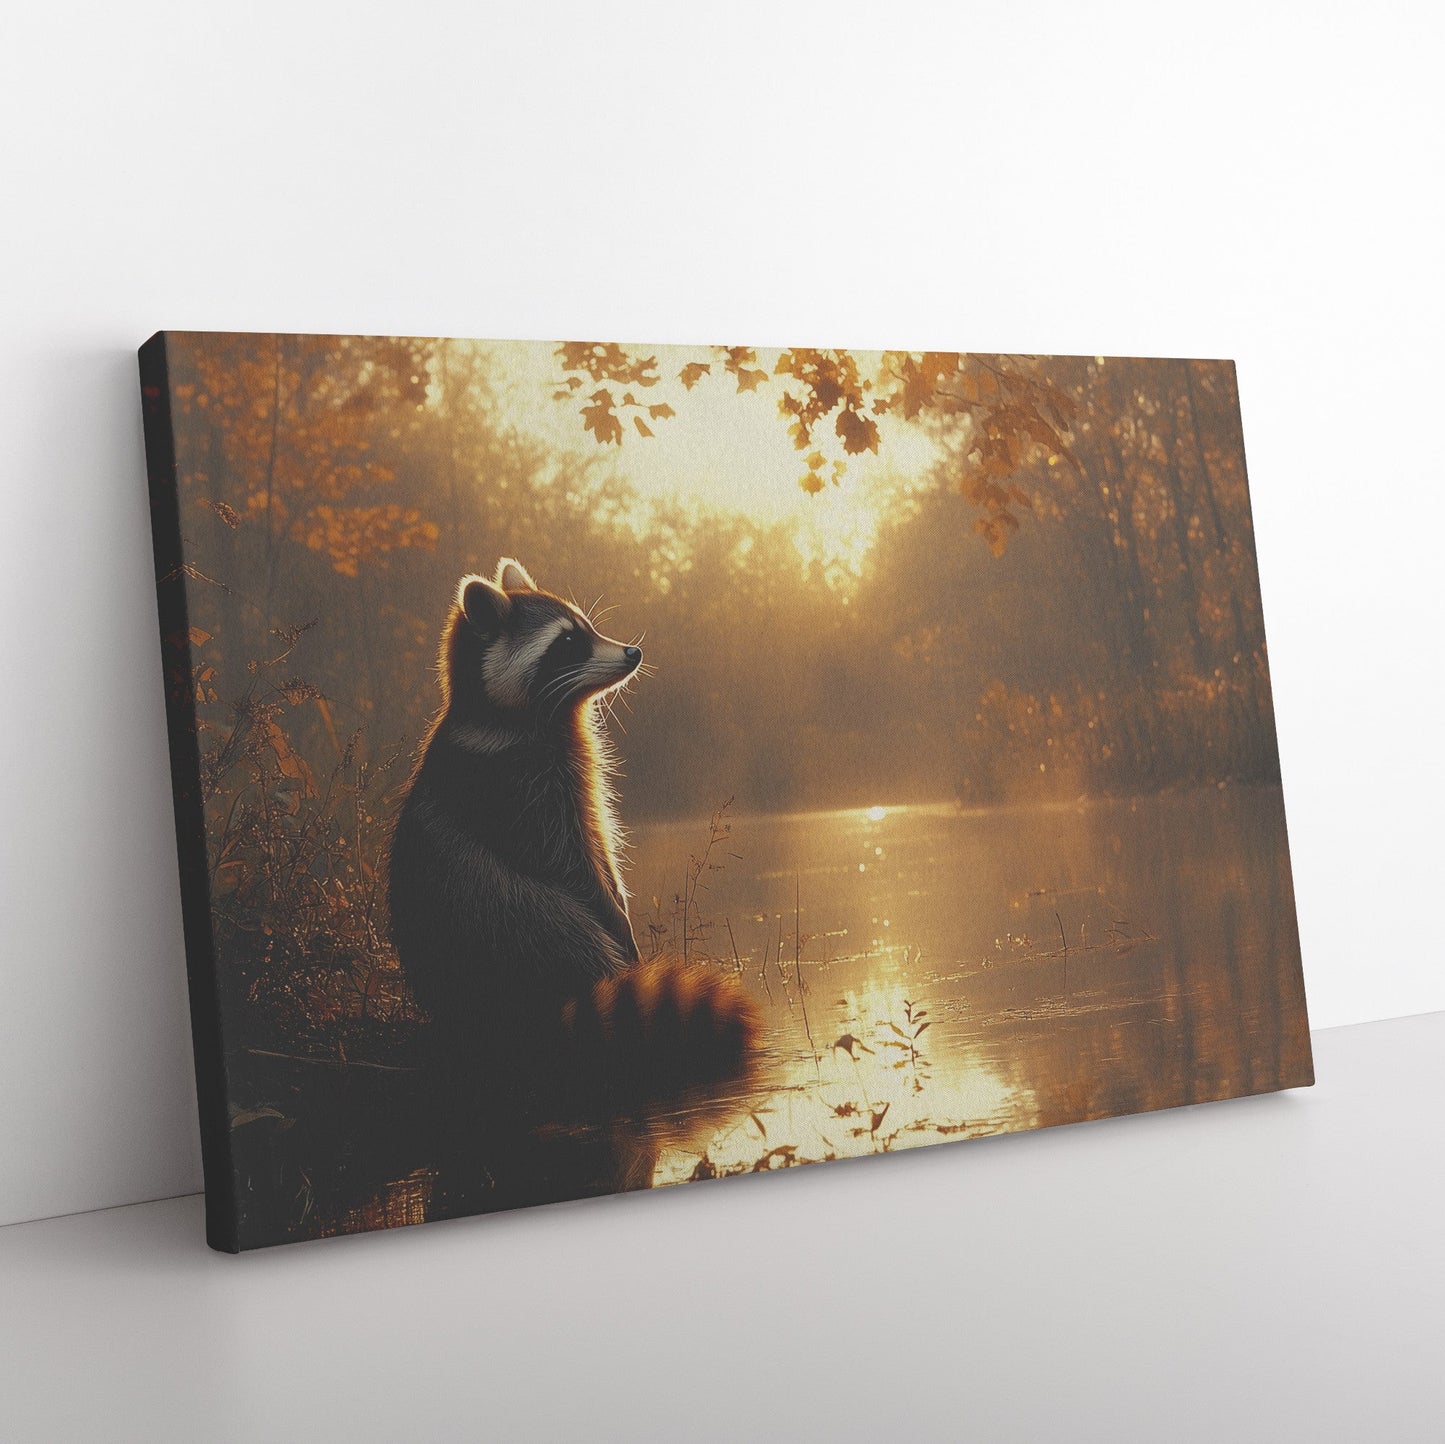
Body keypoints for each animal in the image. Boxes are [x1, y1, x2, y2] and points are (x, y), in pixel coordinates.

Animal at [388, 558, 759, 1143]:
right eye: (567, 643)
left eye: (587, 627)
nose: (632, 652)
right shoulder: (519, 793)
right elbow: (576, 871)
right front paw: (618, 920)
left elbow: (603, 849)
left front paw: (622, 900)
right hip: (519, 930)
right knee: (550, 914)